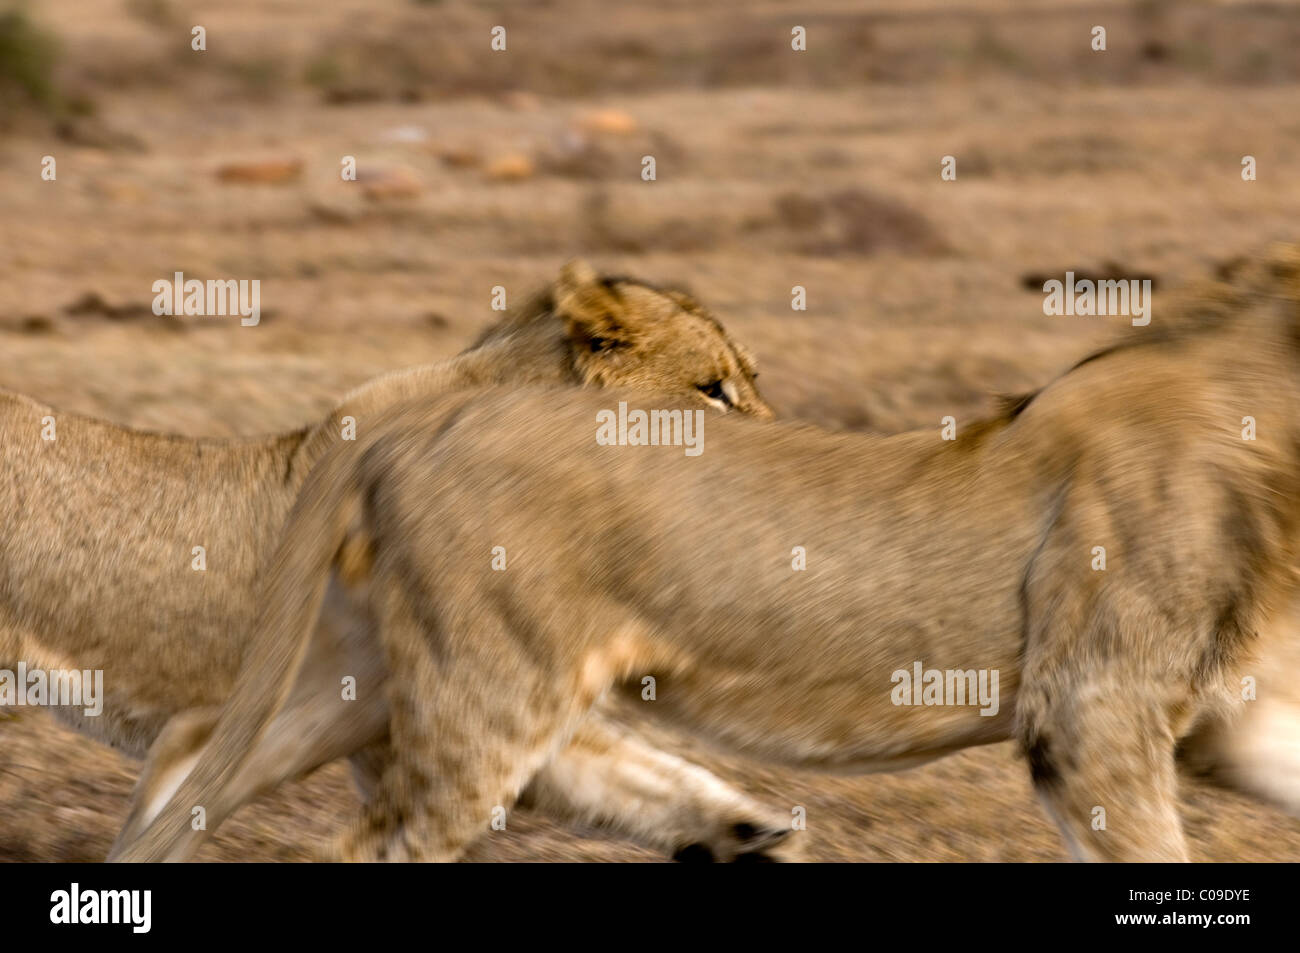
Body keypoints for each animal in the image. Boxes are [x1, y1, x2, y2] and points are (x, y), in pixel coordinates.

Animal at [115, 257, 1300, 862]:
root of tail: (408, 423)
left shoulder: (1224, 720)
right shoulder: (1089, 718)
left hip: (351, 678)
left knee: (197, 763)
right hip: (488, 693)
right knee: (376, 842)